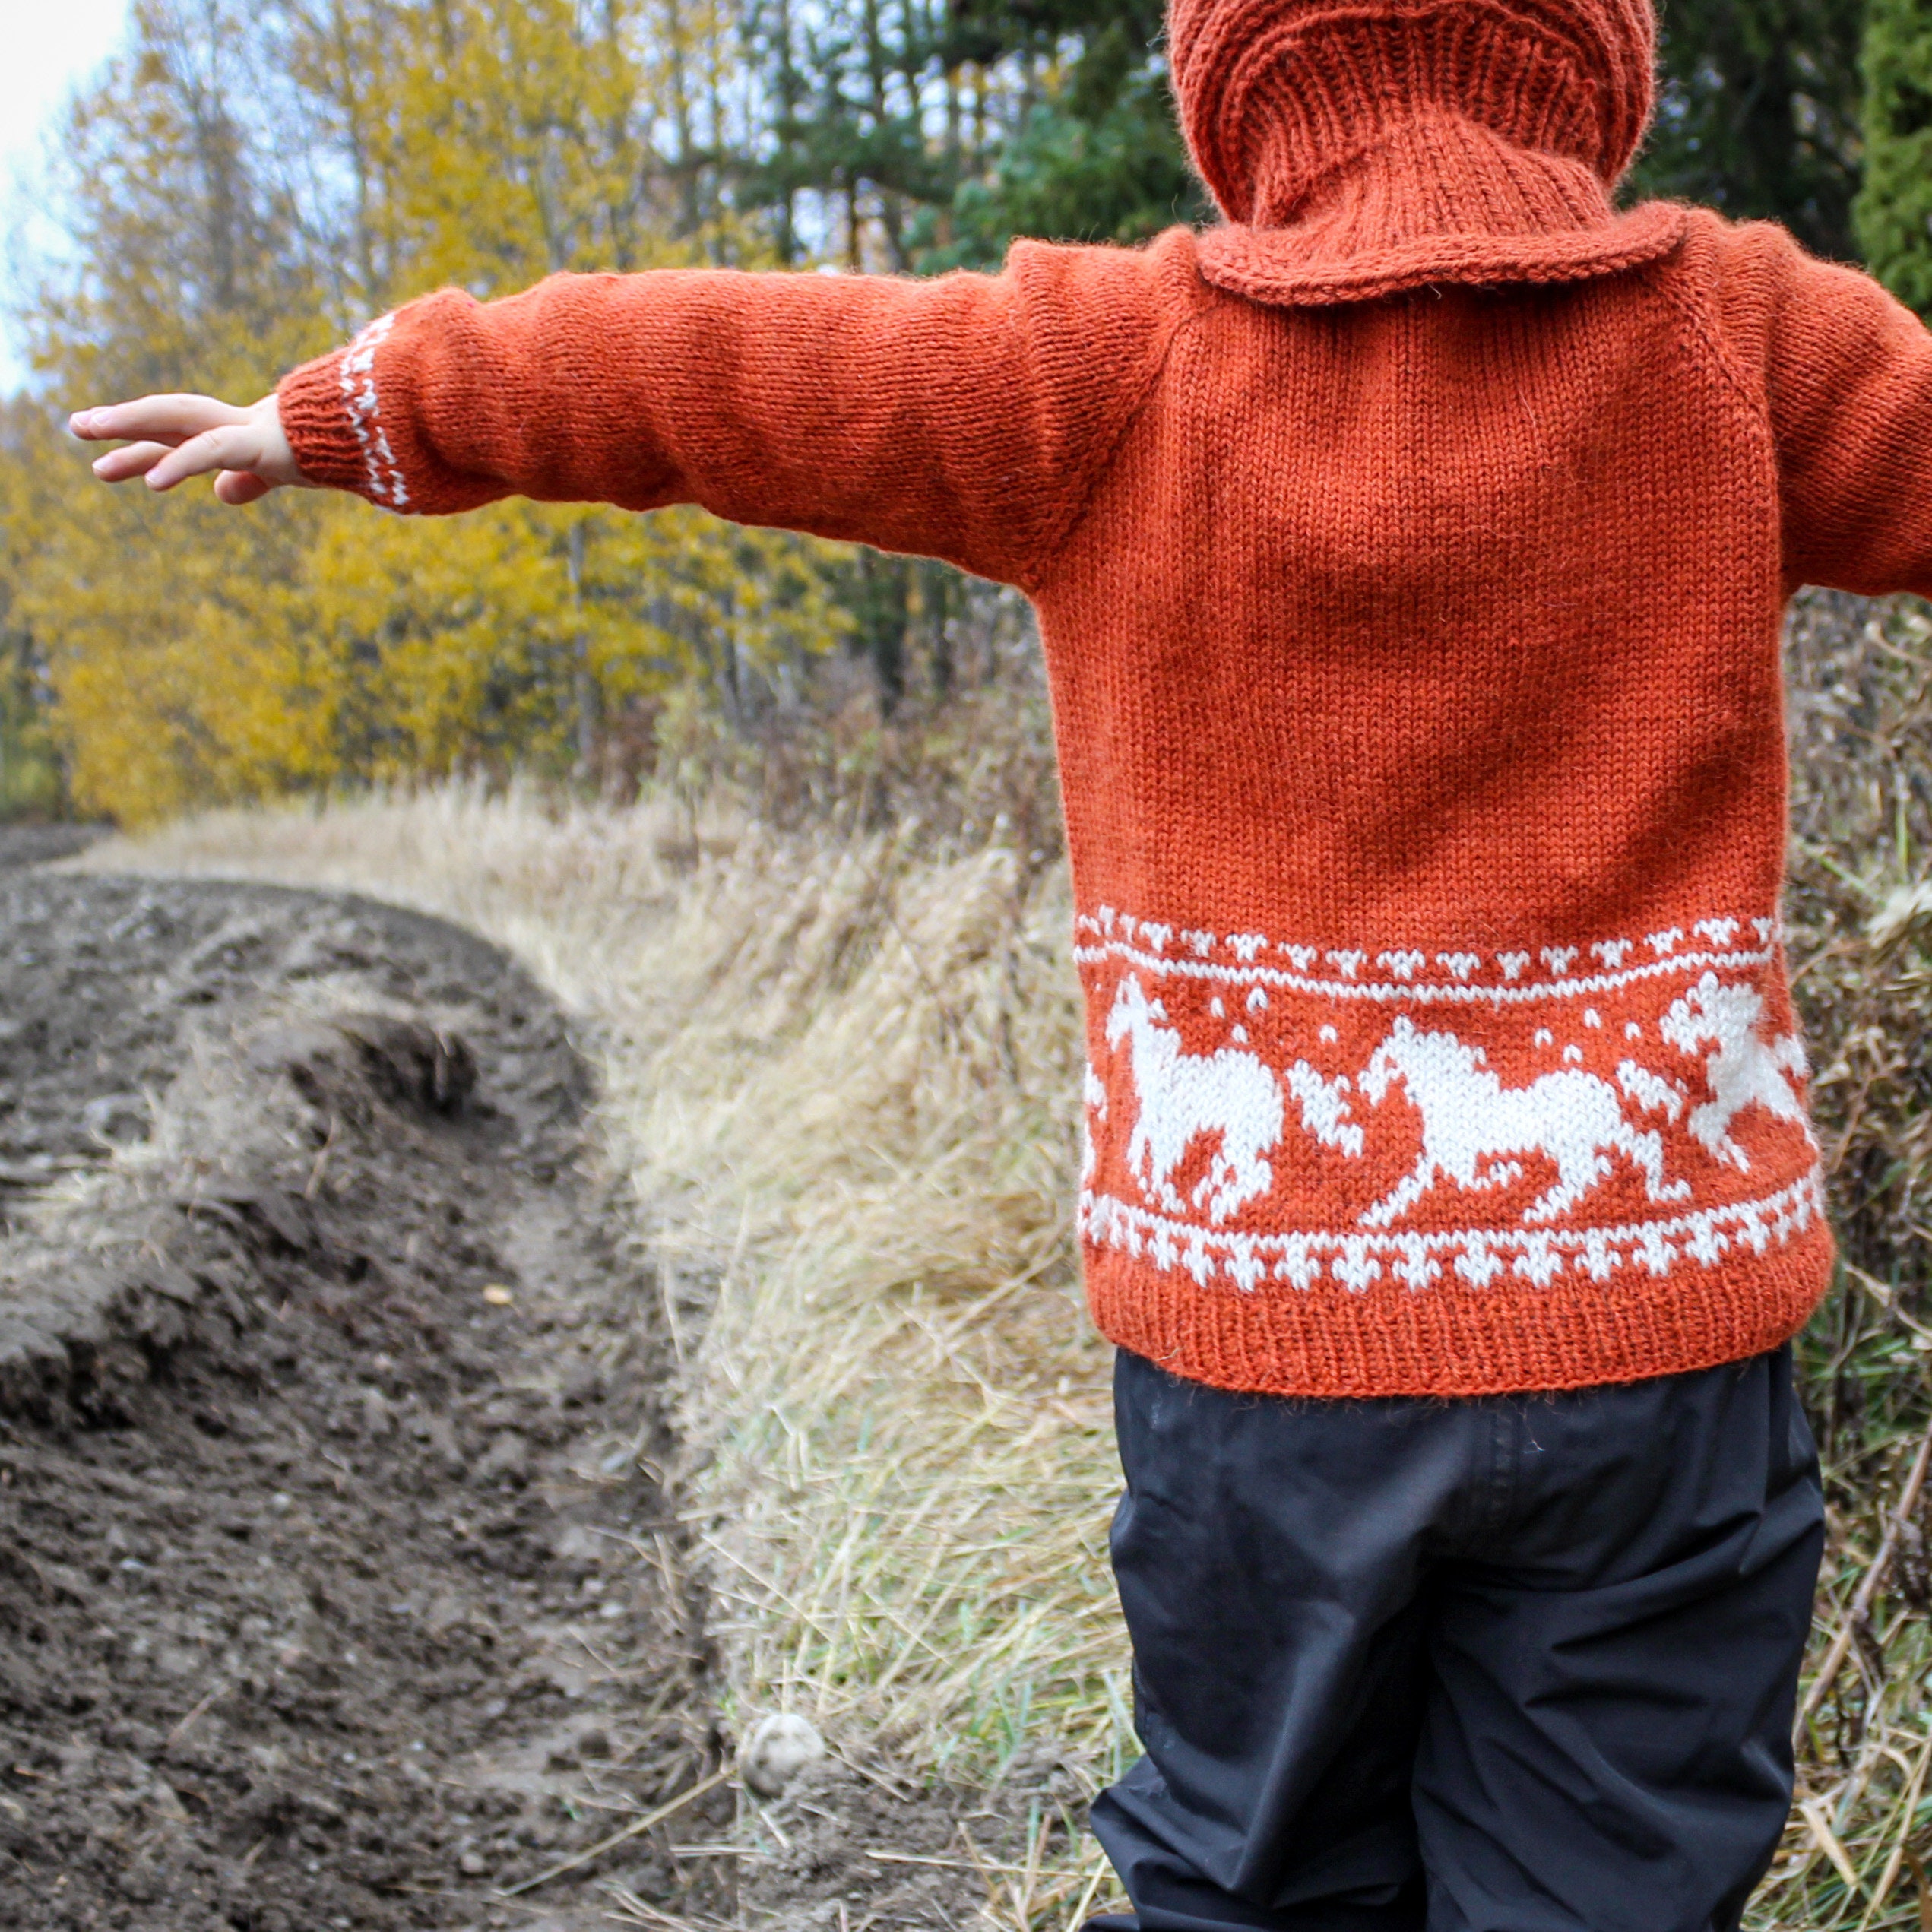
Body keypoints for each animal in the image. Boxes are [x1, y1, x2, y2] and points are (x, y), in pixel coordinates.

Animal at [1103, 975, 1284, 1224]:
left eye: (1122, 1008)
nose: (1110, 1032)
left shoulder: (1170, 1124)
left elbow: (1159, 1158)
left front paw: (1166, 1198)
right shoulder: (1155, 1120)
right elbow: (1142, 1144)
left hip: (1243, 1131)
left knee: (1255, 1173)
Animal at [1357, 1017, 1688, 1228]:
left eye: (1382, 1061)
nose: (1366, 1088)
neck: (1448, 1091)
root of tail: (1604, 1081)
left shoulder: (1457, 1160)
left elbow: (1473, 1181)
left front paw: (1505, 1174)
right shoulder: (1436, 1160)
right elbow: (1409, 1187)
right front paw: (1377, 1215)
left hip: (1572, 1142)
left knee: (1588, 1173)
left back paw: (1542, 1210)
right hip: (1603, 1134)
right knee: (1639, 1145)